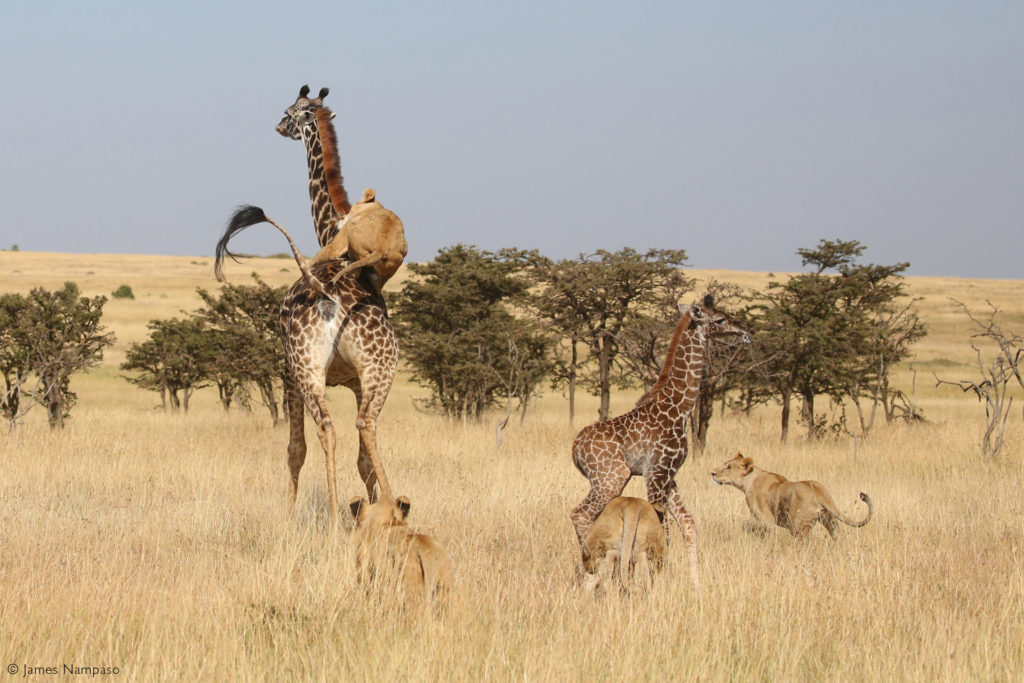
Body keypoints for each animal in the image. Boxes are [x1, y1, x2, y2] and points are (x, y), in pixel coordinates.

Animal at [215, 206, 397, 520]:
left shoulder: (290, 375)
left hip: (315, 368)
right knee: (360, 424)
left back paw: (349, 514)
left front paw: (289, 515)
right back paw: (379, 509)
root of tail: (327, 294)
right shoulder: (353, 381)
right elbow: (362, 460)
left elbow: (295, 449)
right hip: (370, 367)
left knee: (332, 428)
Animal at [569, 297, 749, 587]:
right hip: (612, 478)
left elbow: (688, 524)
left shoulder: (669, 475)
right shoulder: (656, 473)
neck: (679, 407)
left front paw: (694, 583)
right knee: (580, 513)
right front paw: (658, 582)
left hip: (607, 481)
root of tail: (575, 450)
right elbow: (663, 530)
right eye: (719, 319)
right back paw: (595, 574)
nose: (743, 329)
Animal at [711, 453, 872, 539]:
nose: (712, 473)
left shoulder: (766, 518)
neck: (749, 479)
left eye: (728, 467)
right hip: (829, 520)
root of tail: (820, 493)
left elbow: (748, 524)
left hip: (798, 525)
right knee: (837, 535)